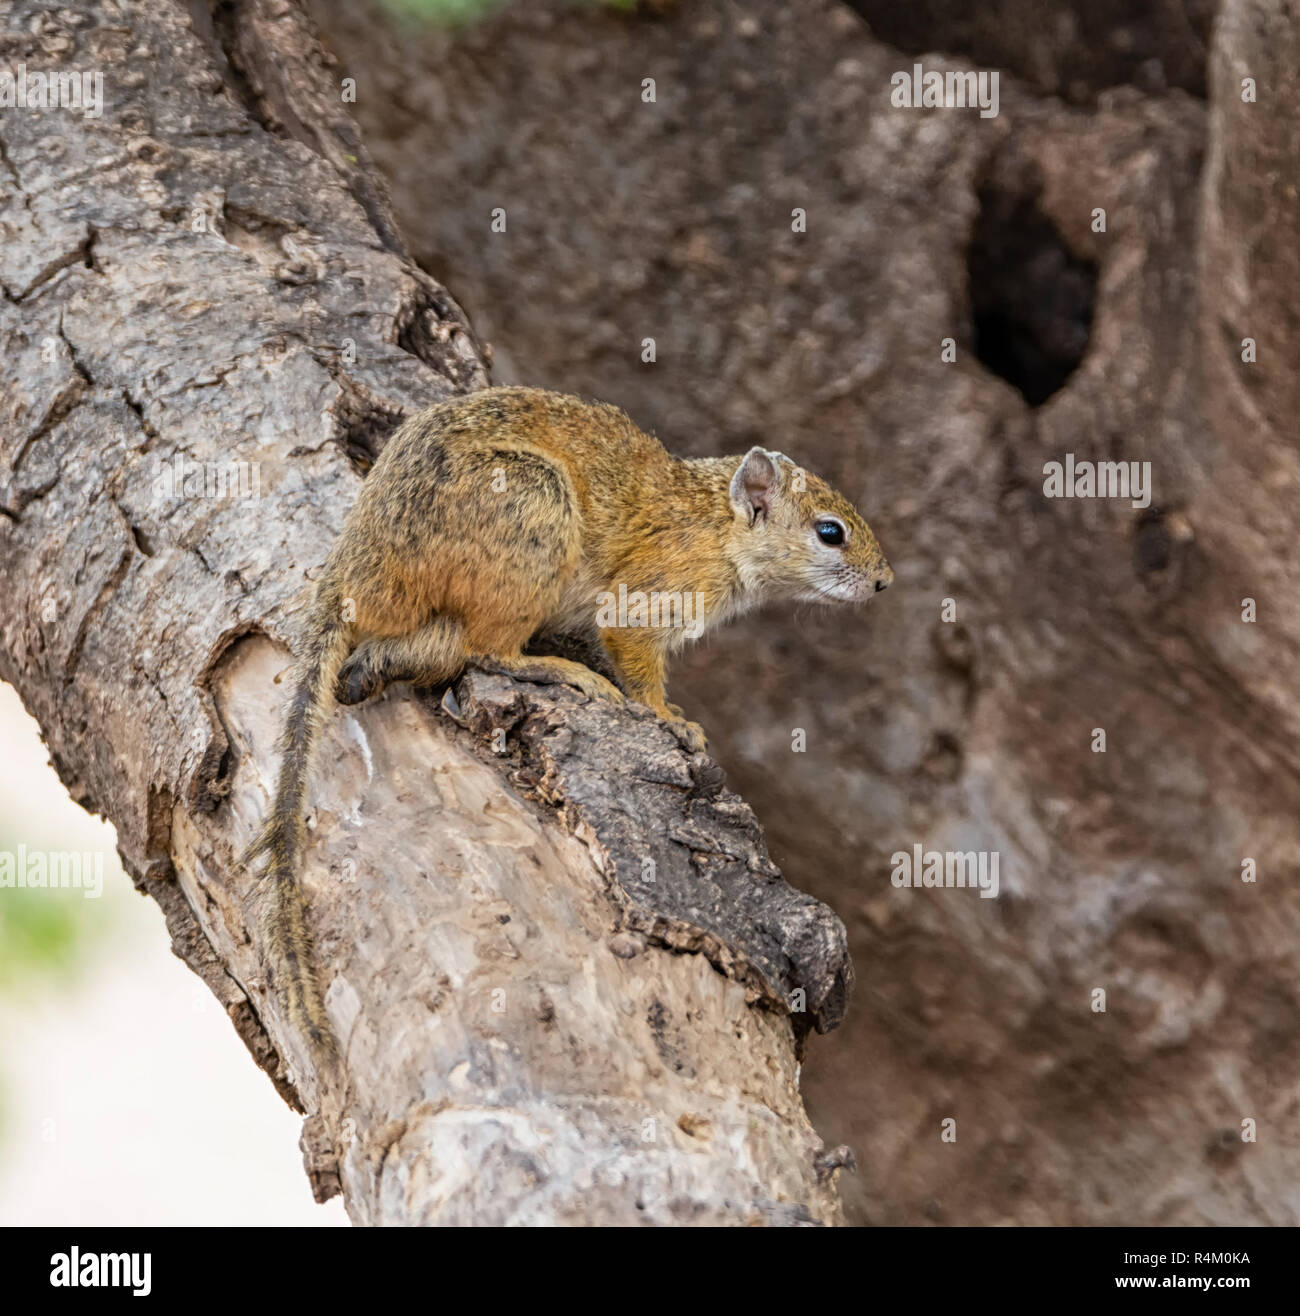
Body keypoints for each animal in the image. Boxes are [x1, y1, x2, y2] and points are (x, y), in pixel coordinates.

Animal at [244, 385, 892, 1058]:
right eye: (830, 532)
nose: (884, 581)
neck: (716, 523)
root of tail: (352, 577)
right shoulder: (645, 601)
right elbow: (637, 664)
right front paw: (671, 719)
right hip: (533, 508)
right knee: (487, 651)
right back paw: (561, 670)